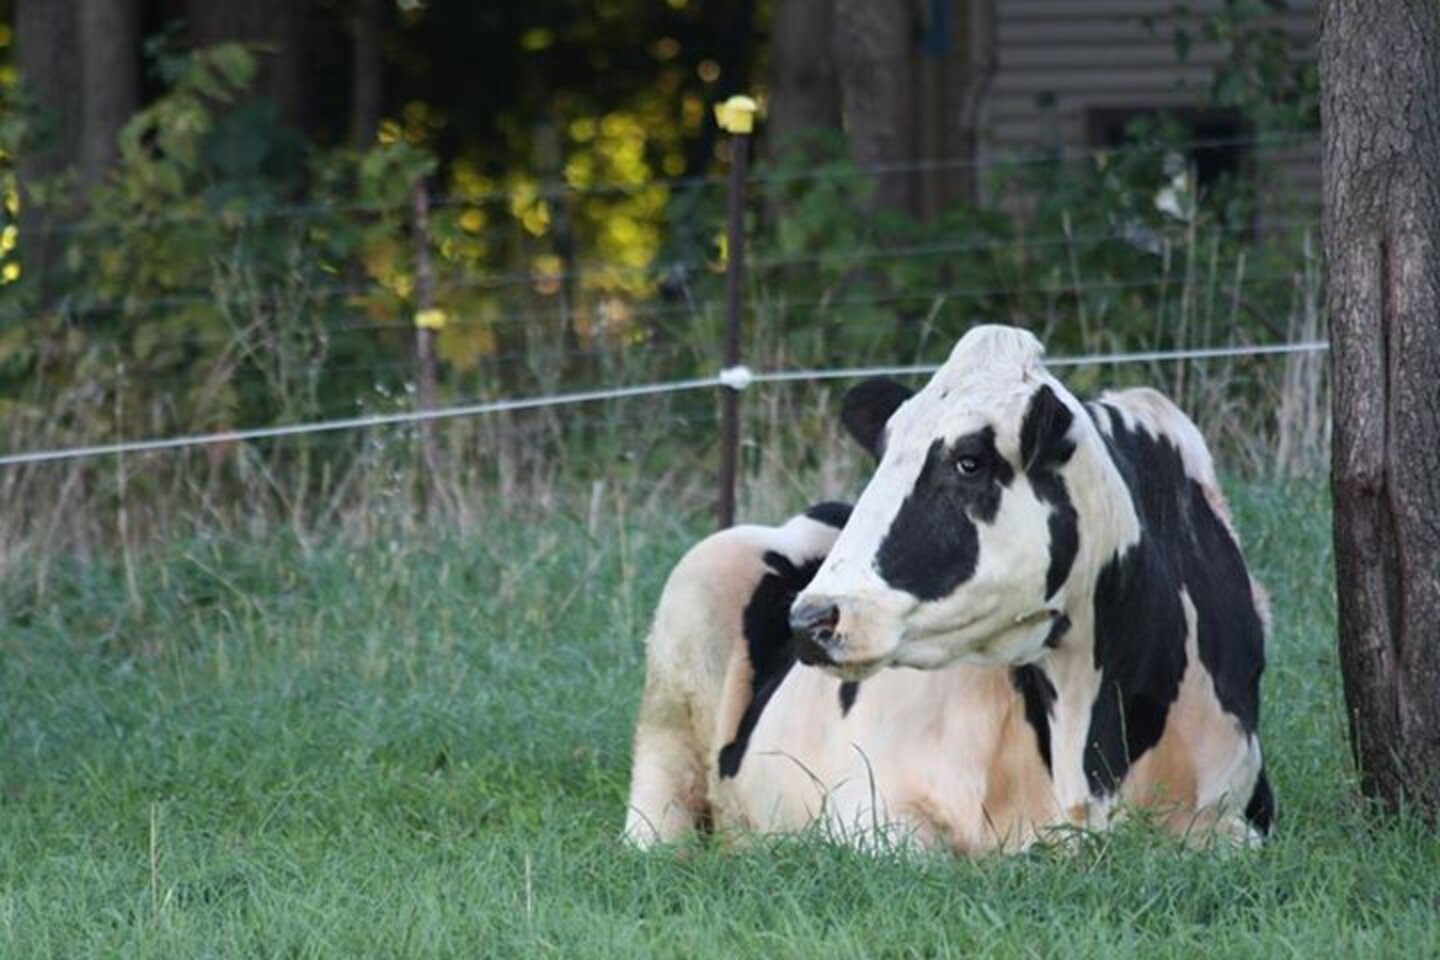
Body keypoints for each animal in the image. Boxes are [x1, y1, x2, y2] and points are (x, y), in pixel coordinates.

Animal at [623, 324, 1272, 853]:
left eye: (969, 462)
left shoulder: (1243, 811)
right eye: (882, 458)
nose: (811, 618)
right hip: (684, 645)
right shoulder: (866, 809)